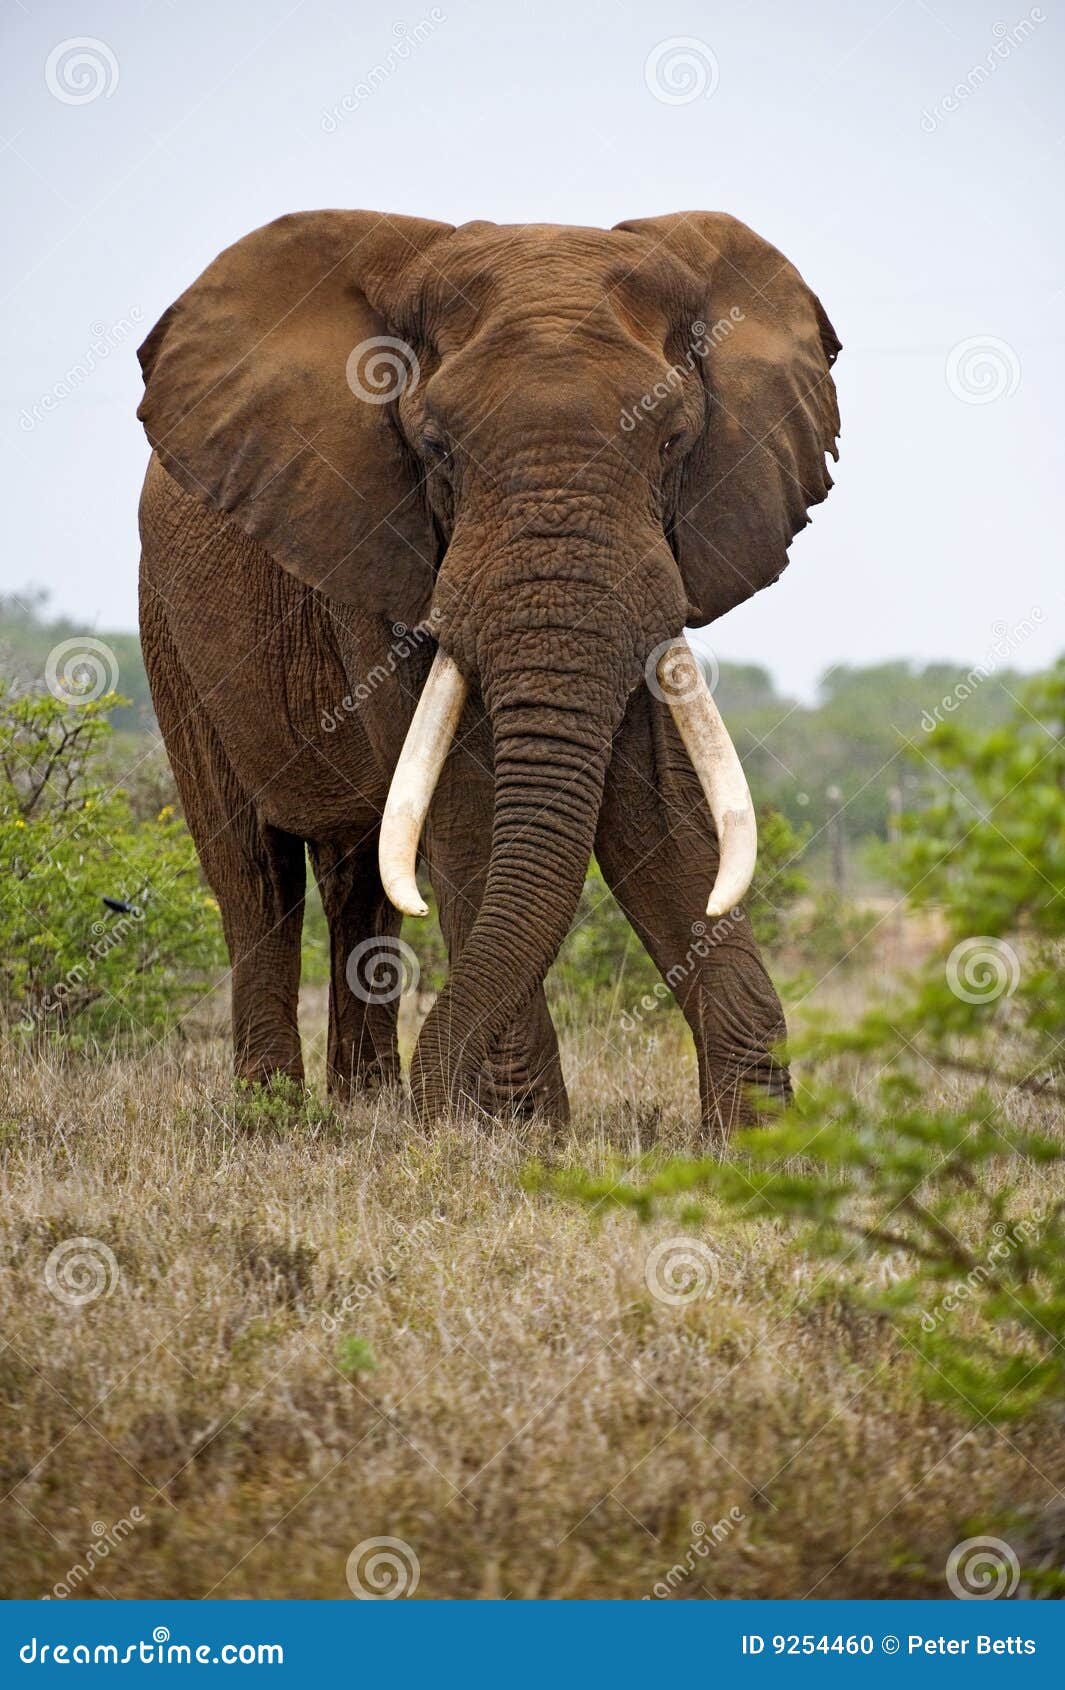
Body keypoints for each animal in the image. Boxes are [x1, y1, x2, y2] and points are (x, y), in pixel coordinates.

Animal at [136, 209, 840, 1136]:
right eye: (437, 447)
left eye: (671, 442)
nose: (434, 1109)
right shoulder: (376, 548)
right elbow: (467, 803)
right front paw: (519, 1137)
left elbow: (661, 810)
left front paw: (756, 1141)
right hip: (168, 629)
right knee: (253, 870)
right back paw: (277, 1117)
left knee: (360, 878)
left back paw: (365, 1107)